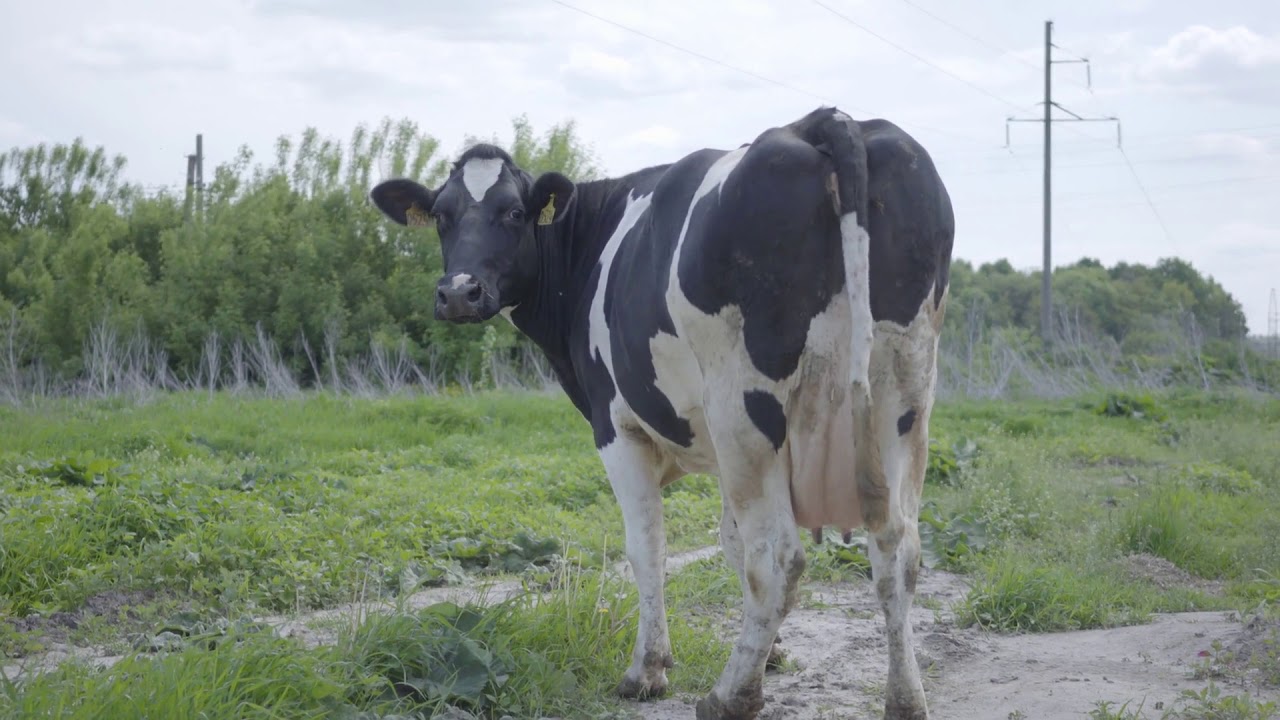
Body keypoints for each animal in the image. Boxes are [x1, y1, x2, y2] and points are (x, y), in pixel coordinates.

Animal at [369, 106, 954, 720]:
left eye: (512, 211)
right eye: (440, 216)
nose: (459, 292)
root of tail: (827, 119)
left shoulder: (617, 429)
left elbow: (648, 546)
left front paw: (647, 670)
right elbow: (729, 542)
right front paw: (770, 653)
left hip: (744, 404)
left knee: (779, 556)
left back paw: (729, 697)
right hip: (903, 395)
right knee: (896, 548)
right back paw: (904, 699)